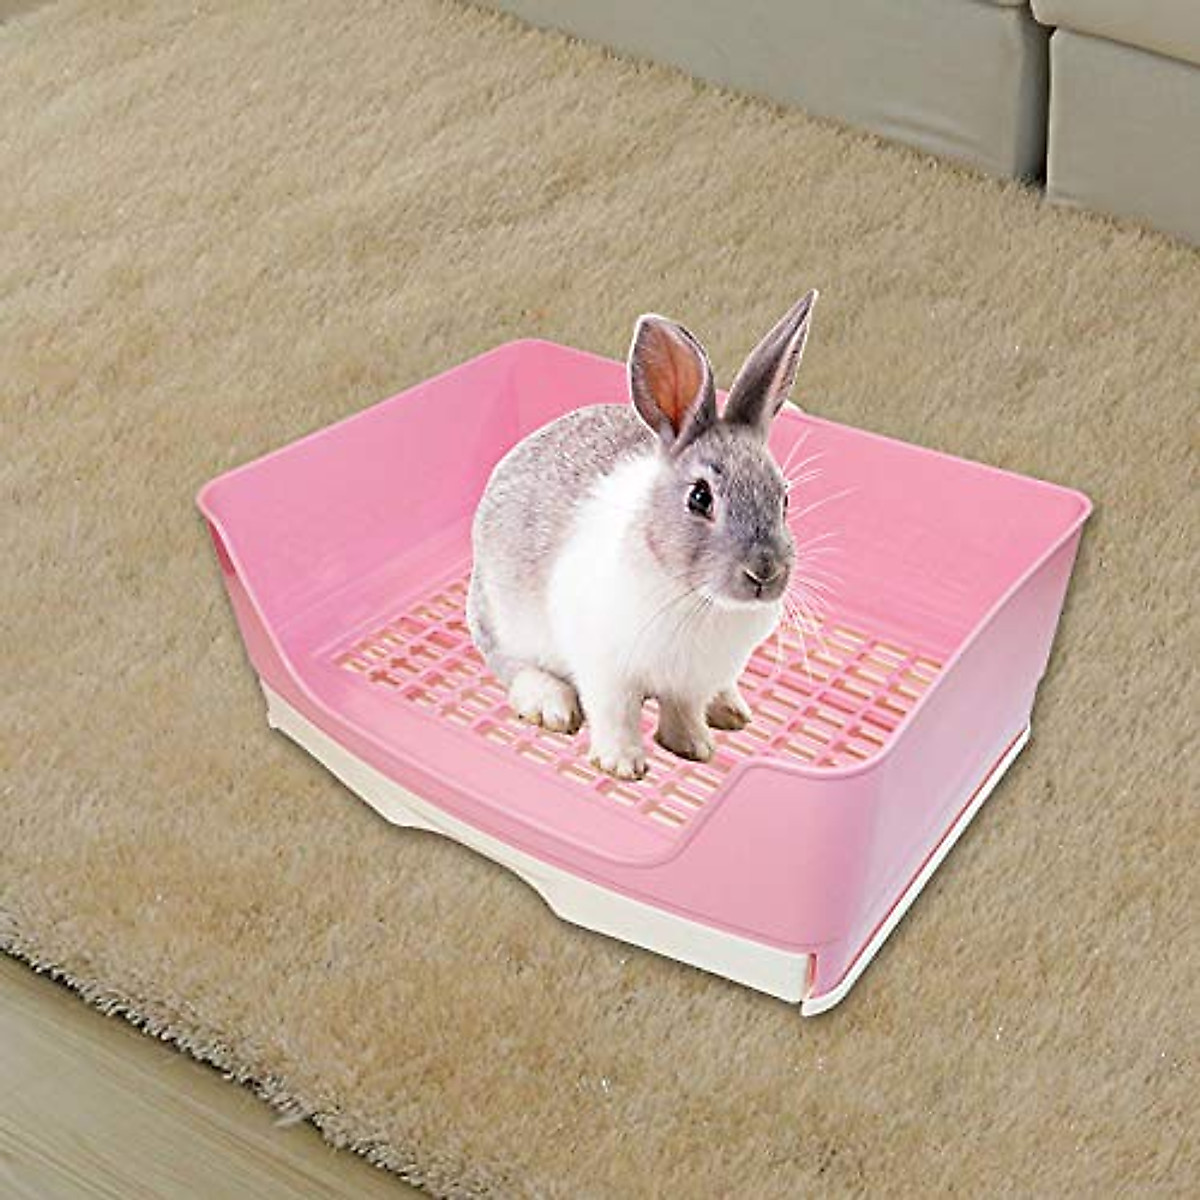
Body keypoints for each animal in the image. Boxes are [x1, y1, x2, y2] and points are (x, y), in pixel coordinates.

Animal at [468, 291, 817, 780]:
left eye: (784, 498)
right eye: (699, 498)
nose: (765, 572)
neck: (697, 599)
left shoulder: (691, 682)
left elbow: (683, 711)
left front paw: (694, 746)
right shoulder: (605, 669)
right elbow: (616, 714)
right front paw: (622, 764)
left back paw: (730, 709)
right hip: (503, 621)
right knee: (511, 664)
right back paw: (550, 705)